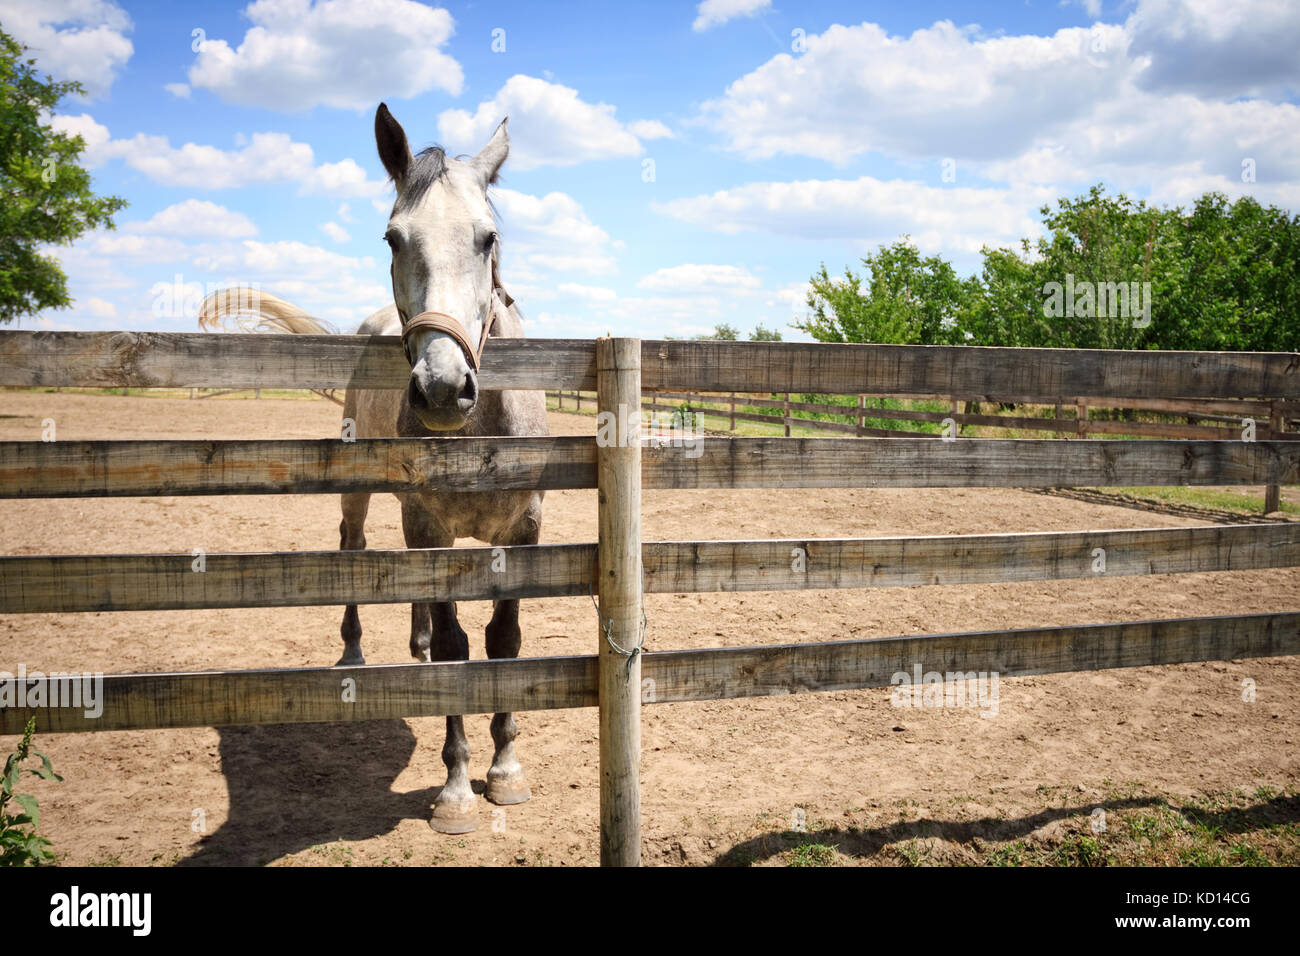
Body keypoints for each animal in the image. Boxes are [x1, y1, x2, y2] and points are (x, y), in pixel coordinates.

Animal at [199, 104, 547, 835]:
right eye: (393, 238)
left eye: (488, 238)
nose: (442, 388)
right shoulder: (432, 526)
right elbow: (456, 649)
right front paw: (456, 790)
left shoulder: (523, 529)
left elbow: (504, 639)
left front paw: (506, 770)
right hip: (364, 495)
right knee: (355, 550)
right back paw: (356, 651)